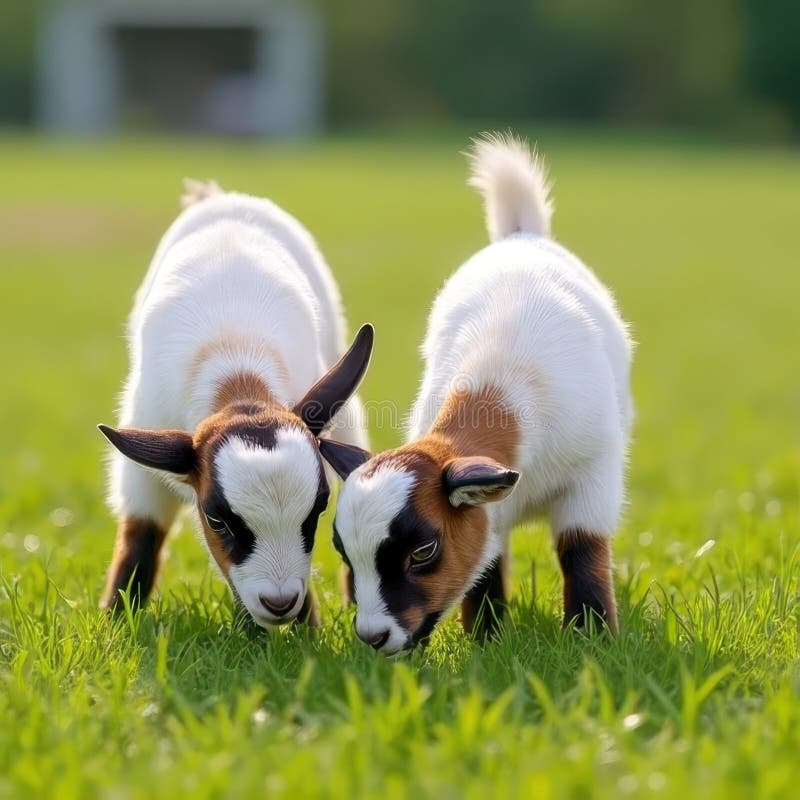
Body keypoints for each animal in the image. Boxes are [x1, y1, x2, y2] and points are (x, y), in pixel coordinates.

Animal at [98, 180, 372, 627]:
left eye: (317, 510)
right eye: (217, 520)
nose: (280, 603)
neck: (238, 377)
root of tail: (218, 197)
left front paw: (307, 631)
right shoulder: (142, 463)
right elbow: (141, 537)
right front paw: (117, 619)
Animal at [323, 133, 633, 654]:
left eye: (423, 551)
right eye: (343, 552)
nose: (373, 636)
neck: (503, 393)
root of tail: (519, 234)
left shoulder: (593, 478)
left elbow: (583, 552)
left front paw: (592, 639)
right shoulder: (490, 505)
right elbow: (484, 566)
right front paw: (486, 640)